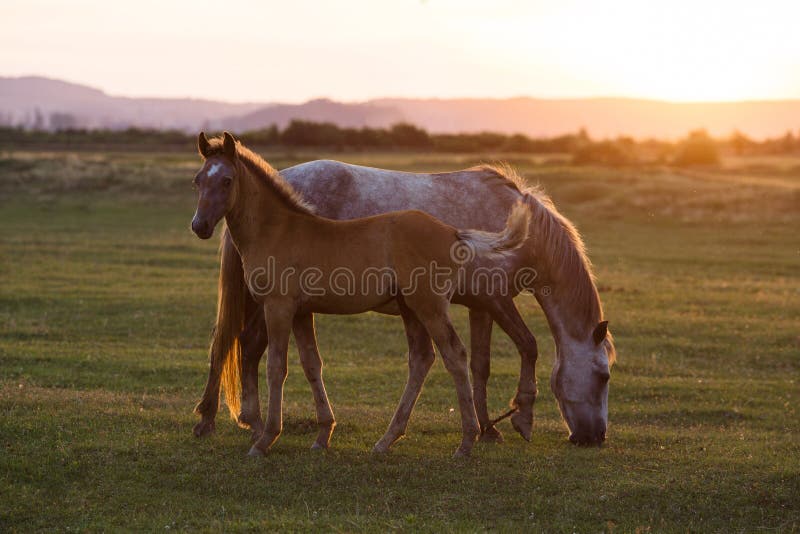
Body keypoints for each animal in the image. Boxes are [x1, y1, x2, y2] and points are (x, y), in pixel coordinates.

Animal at [193, 144, 617, 447]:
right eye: (603, 376)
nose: (595, 438)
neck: (518, 229)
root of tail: (283, 175)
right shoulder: (495, 300)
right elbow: (528, 346)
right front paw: (520, 417)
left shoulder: (480, 306)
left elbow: (481, 365)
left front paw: (487, 427)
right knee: (239, 344)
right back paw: (227, 419)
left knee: (241, 345)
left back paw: (236, 419)